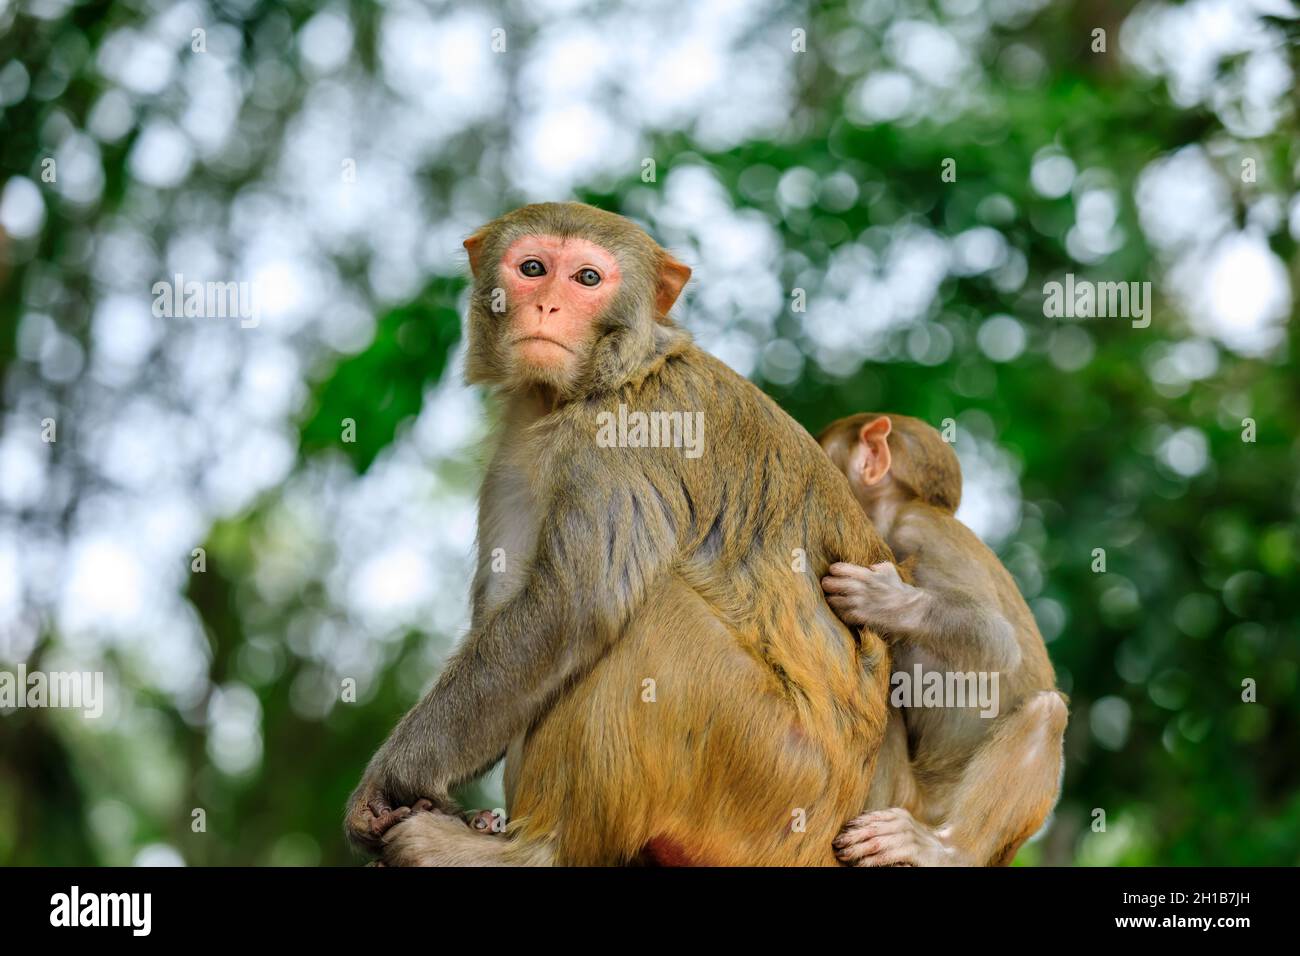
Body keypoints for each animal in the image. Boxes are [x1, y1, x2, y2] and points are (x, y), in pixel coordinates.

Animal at [344, 202, 896, 866]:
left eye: (586, 278)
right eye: (532, 268)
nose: (547, 306)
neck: (597, 382)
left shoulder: (619, 441)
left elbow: (569, 609)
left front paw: (395, 780)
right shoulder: (515, 449)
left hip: (770, 778)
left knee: (649, 615)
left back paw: (535, 850)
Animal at [817, 412, 1068, 866]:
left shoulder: (918, 530)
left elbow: (997, 642)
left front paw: (887, 602)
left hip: (919, 802)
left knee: (1047, 712)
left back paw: (946, 850)